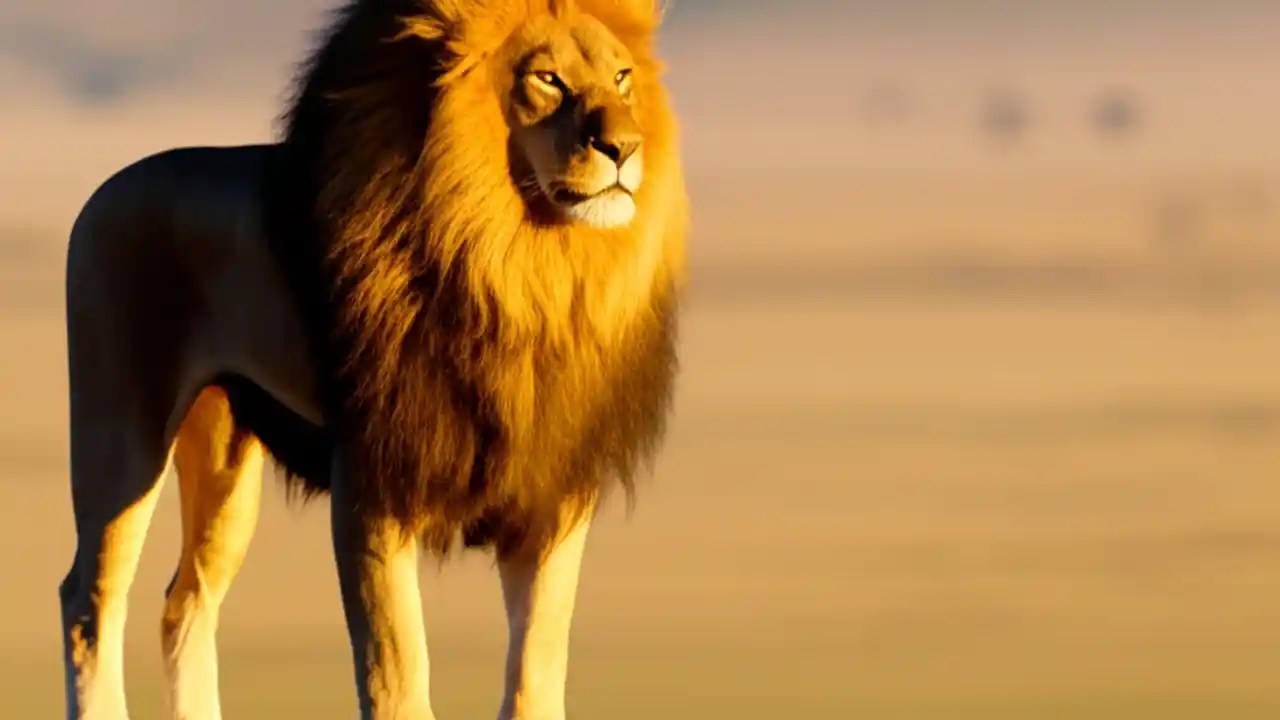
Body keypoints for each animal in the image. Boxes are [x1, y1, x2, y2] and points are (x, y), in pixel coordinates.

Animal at [57, 1, 687, 718]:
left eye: (622, 78)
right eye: (548, 79)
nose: (625, 149)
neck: (520, 268)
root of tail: (104, 190)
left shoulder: (551, 493)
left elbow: (536, 669)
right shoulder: (370, 482)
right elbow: (398, 667)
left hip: (224, 461)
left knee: (185, 603)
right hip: (120, 436)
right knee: (89, 600)